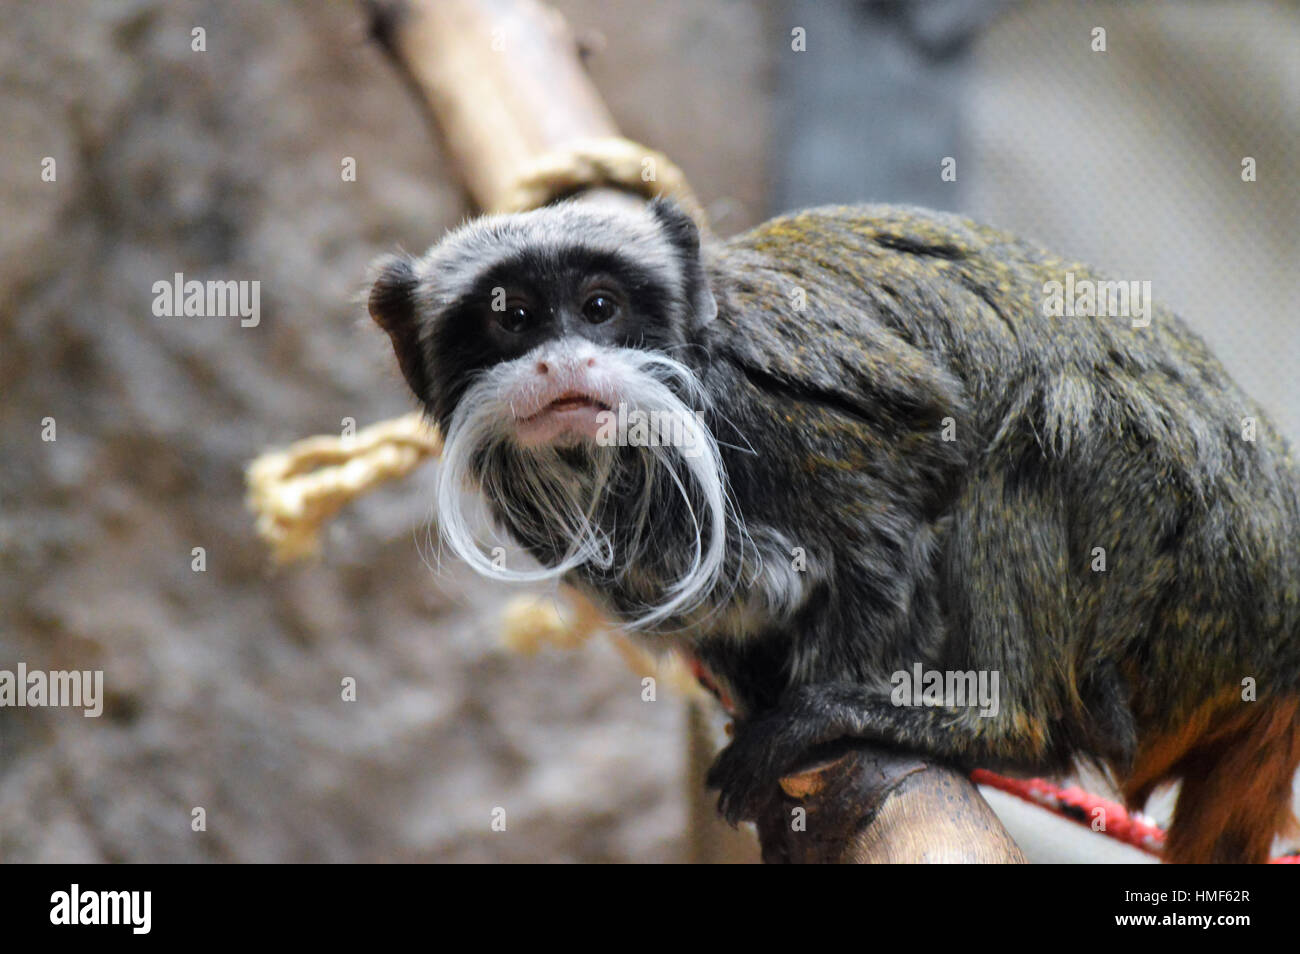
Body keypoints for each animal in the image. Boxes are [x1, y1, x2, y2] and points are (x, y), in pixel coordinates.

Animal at [367, 197, 1300, 863]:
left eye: (600, 306)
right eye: (512, 317)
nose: (565, 361)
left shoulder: (762, 403)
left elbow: (898, 493)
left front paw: (815, 716)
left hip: (1186, 575)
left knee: (1045, 423)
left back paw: (984, 723)